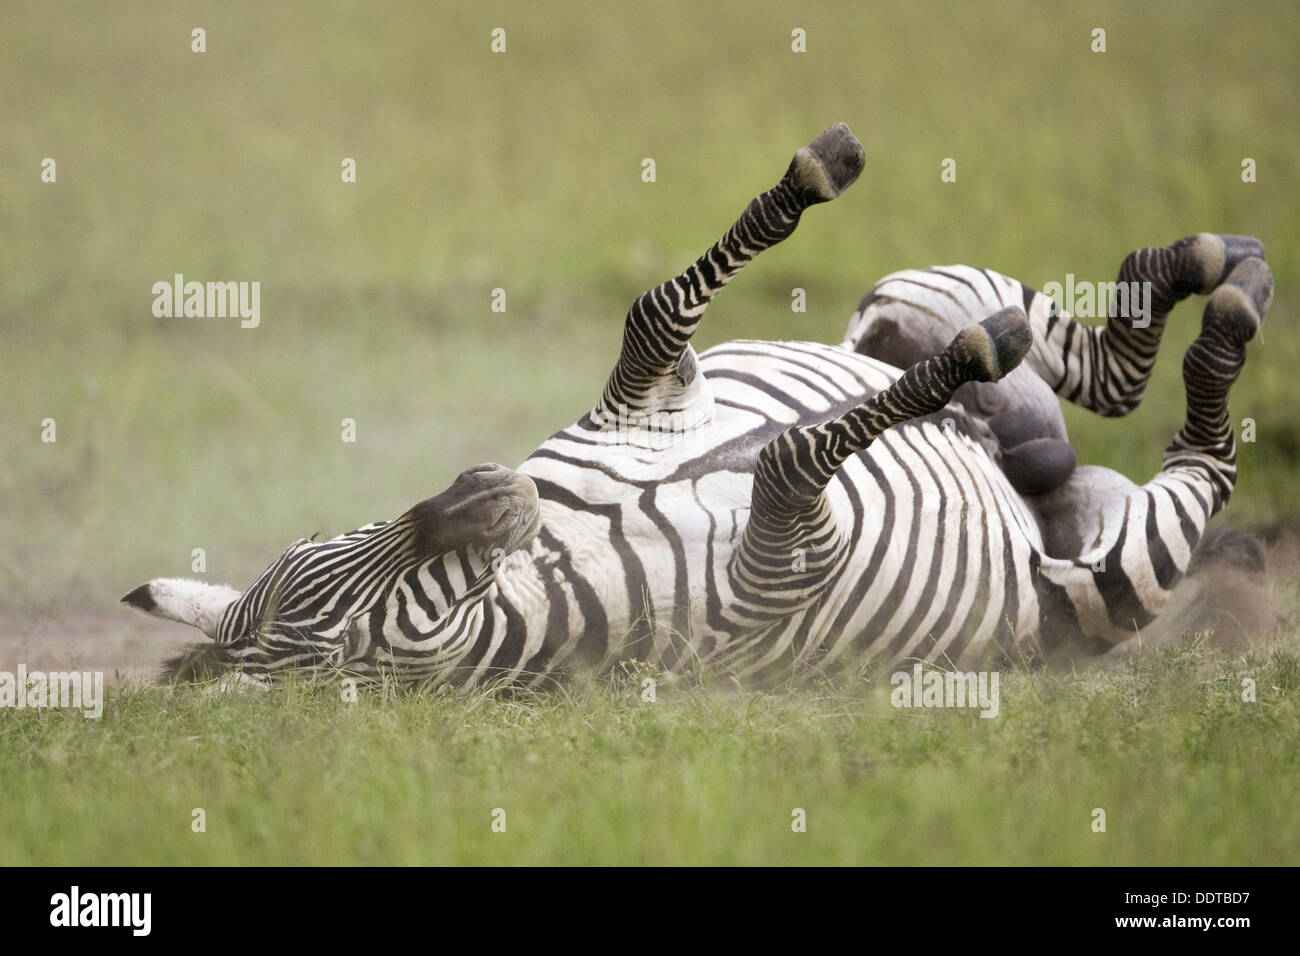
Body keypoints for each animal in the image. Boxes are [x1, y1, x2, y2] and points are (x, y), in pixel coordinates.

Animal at [121, 123, 1273, 687]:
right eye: (355, 626)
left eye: (331, 548)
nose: (487, 490)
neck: (552, 557)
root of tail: (1047, 487)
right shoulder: (787, 561)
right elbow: (789, 457)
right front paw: (954, 369)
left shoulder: (652, 388)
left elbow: (654, 307)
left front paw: (818, 169)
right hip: (1097, 578)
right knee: (1190, 455)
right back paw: (1210, 320)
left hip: (907, 289)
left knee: (1100, 358)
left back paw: (1212, 265)